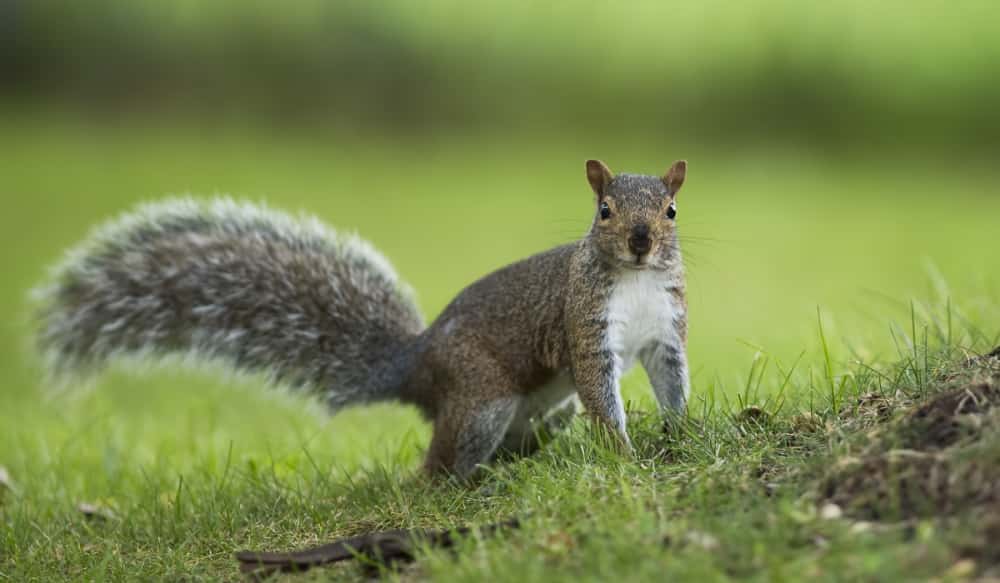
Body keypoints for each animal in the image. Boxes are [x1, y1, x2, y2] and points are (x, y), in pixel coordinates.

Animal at [33, 159, 690, 479]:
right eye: (603, 210)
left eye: (671, 210)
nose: (640, 241)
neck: (634, 280)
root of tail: (415, 364)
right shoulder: (585, 325)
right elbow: (601, 394)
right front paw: (624, 457)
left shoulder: (665, 331)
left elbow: (672, 381)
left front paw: (681, 435)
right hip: (482, 397)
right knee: (435, 467)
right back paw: (470, 482)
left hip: (542, 411)